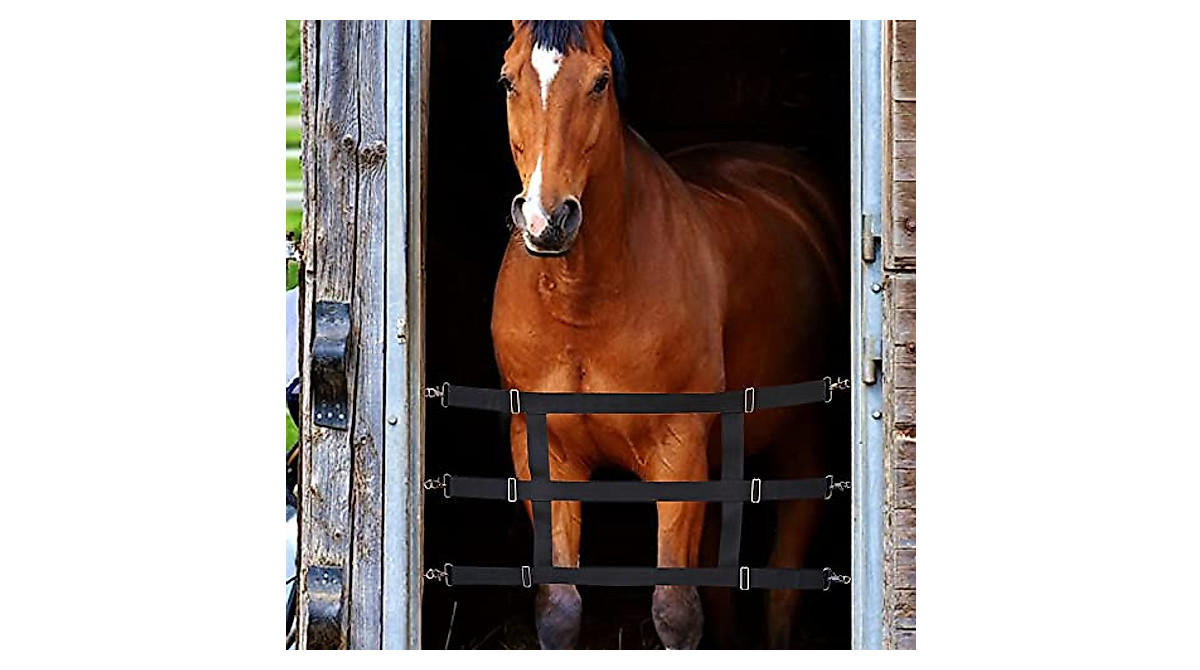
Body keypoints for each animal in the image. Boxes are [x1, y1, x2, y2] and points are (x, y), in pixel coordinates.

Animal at [490, 20, 846, 649]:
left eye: (600, 82)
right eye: (509, 80)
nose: (546, 220)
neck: (583, 302)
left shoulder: (677, 452)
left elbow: (675, 611)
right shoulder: (544, 454)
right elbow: (559, 609)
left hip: (799, 444)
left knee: (782, 588)